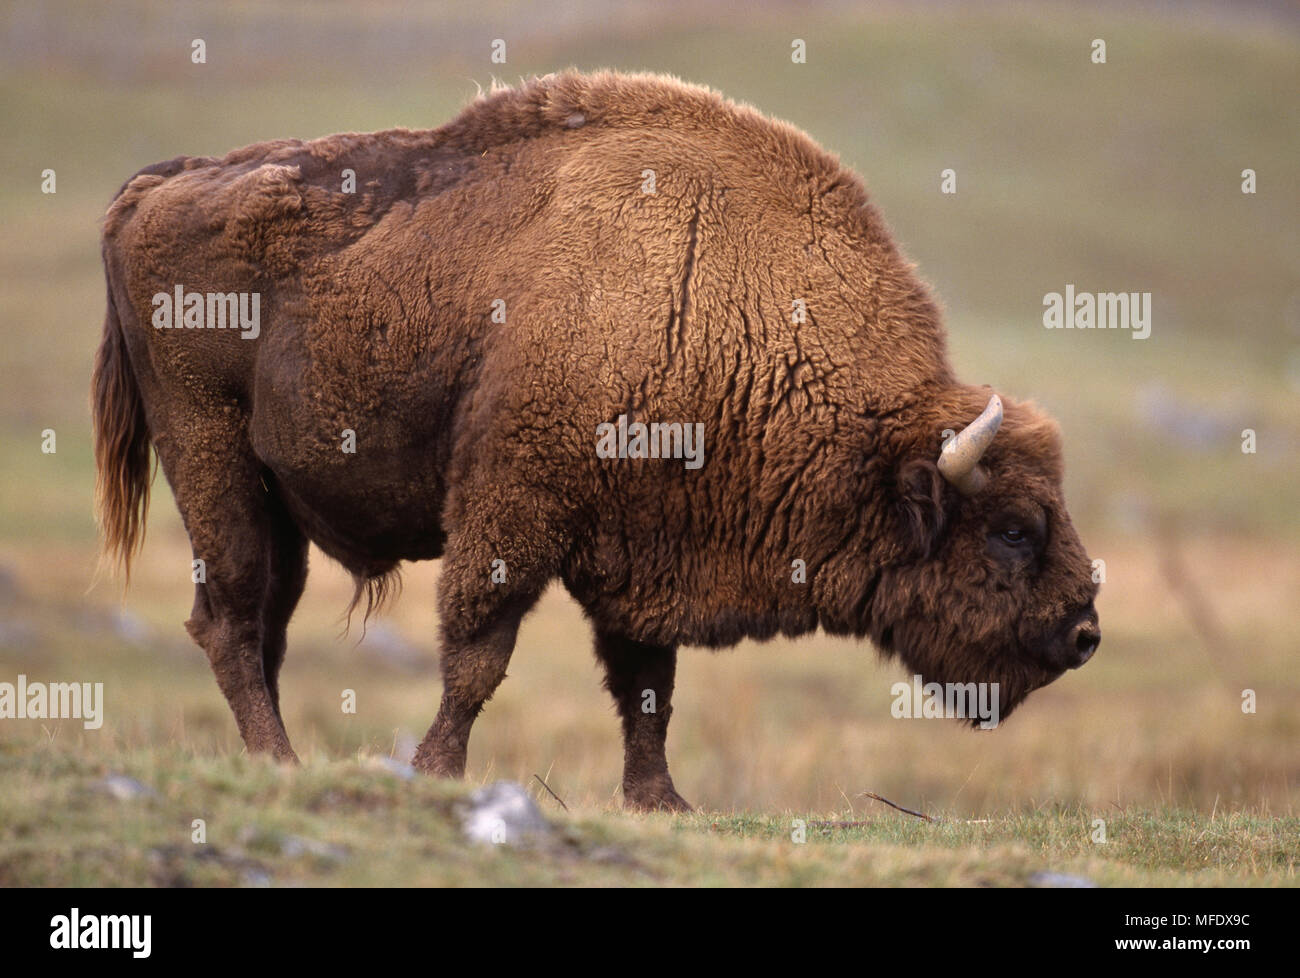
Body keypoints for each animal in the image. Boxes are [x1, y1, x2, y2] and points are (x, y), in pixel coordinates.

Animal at [93, 71, 1099, 811]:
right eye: (1013, 528)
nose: (1084, 632)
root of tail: (158, 184)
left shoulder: (646, 551)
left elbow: (647, 685)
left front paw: (662, 802)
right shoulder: (510, 512)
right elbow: (479, 654)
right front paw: (437, 771)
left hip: (277, 505)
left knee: (263, 620)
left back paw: (274, 760)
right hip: (209, 456)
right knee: (230, 616)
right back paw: (283, 763)